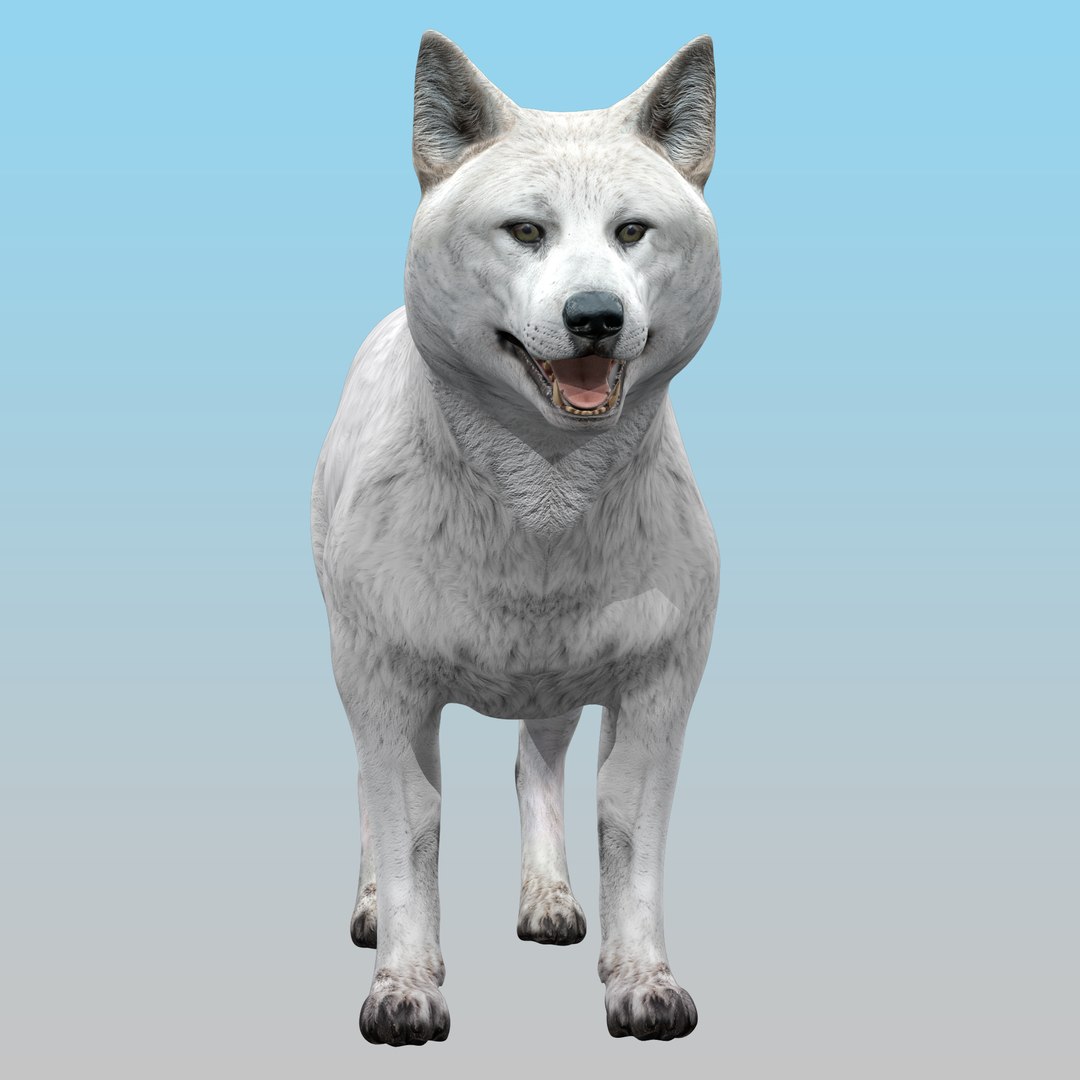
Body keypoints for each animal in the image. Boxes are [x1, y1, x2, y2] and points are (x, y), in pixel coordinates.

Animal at [311, 30, 721, 1045]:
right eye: (527, 231)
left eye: (631, 231)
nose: (596, 315)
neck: (544, 501)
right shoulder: (384, 677)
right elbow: (410, 823)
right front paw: (404, 988)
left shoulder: (661, 681)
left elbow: (628, 829)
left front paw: (642, 982)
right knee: (373, 794)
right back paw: (371, 906)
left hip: (553, 685)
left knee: (537, 765)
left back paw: (548, 900)